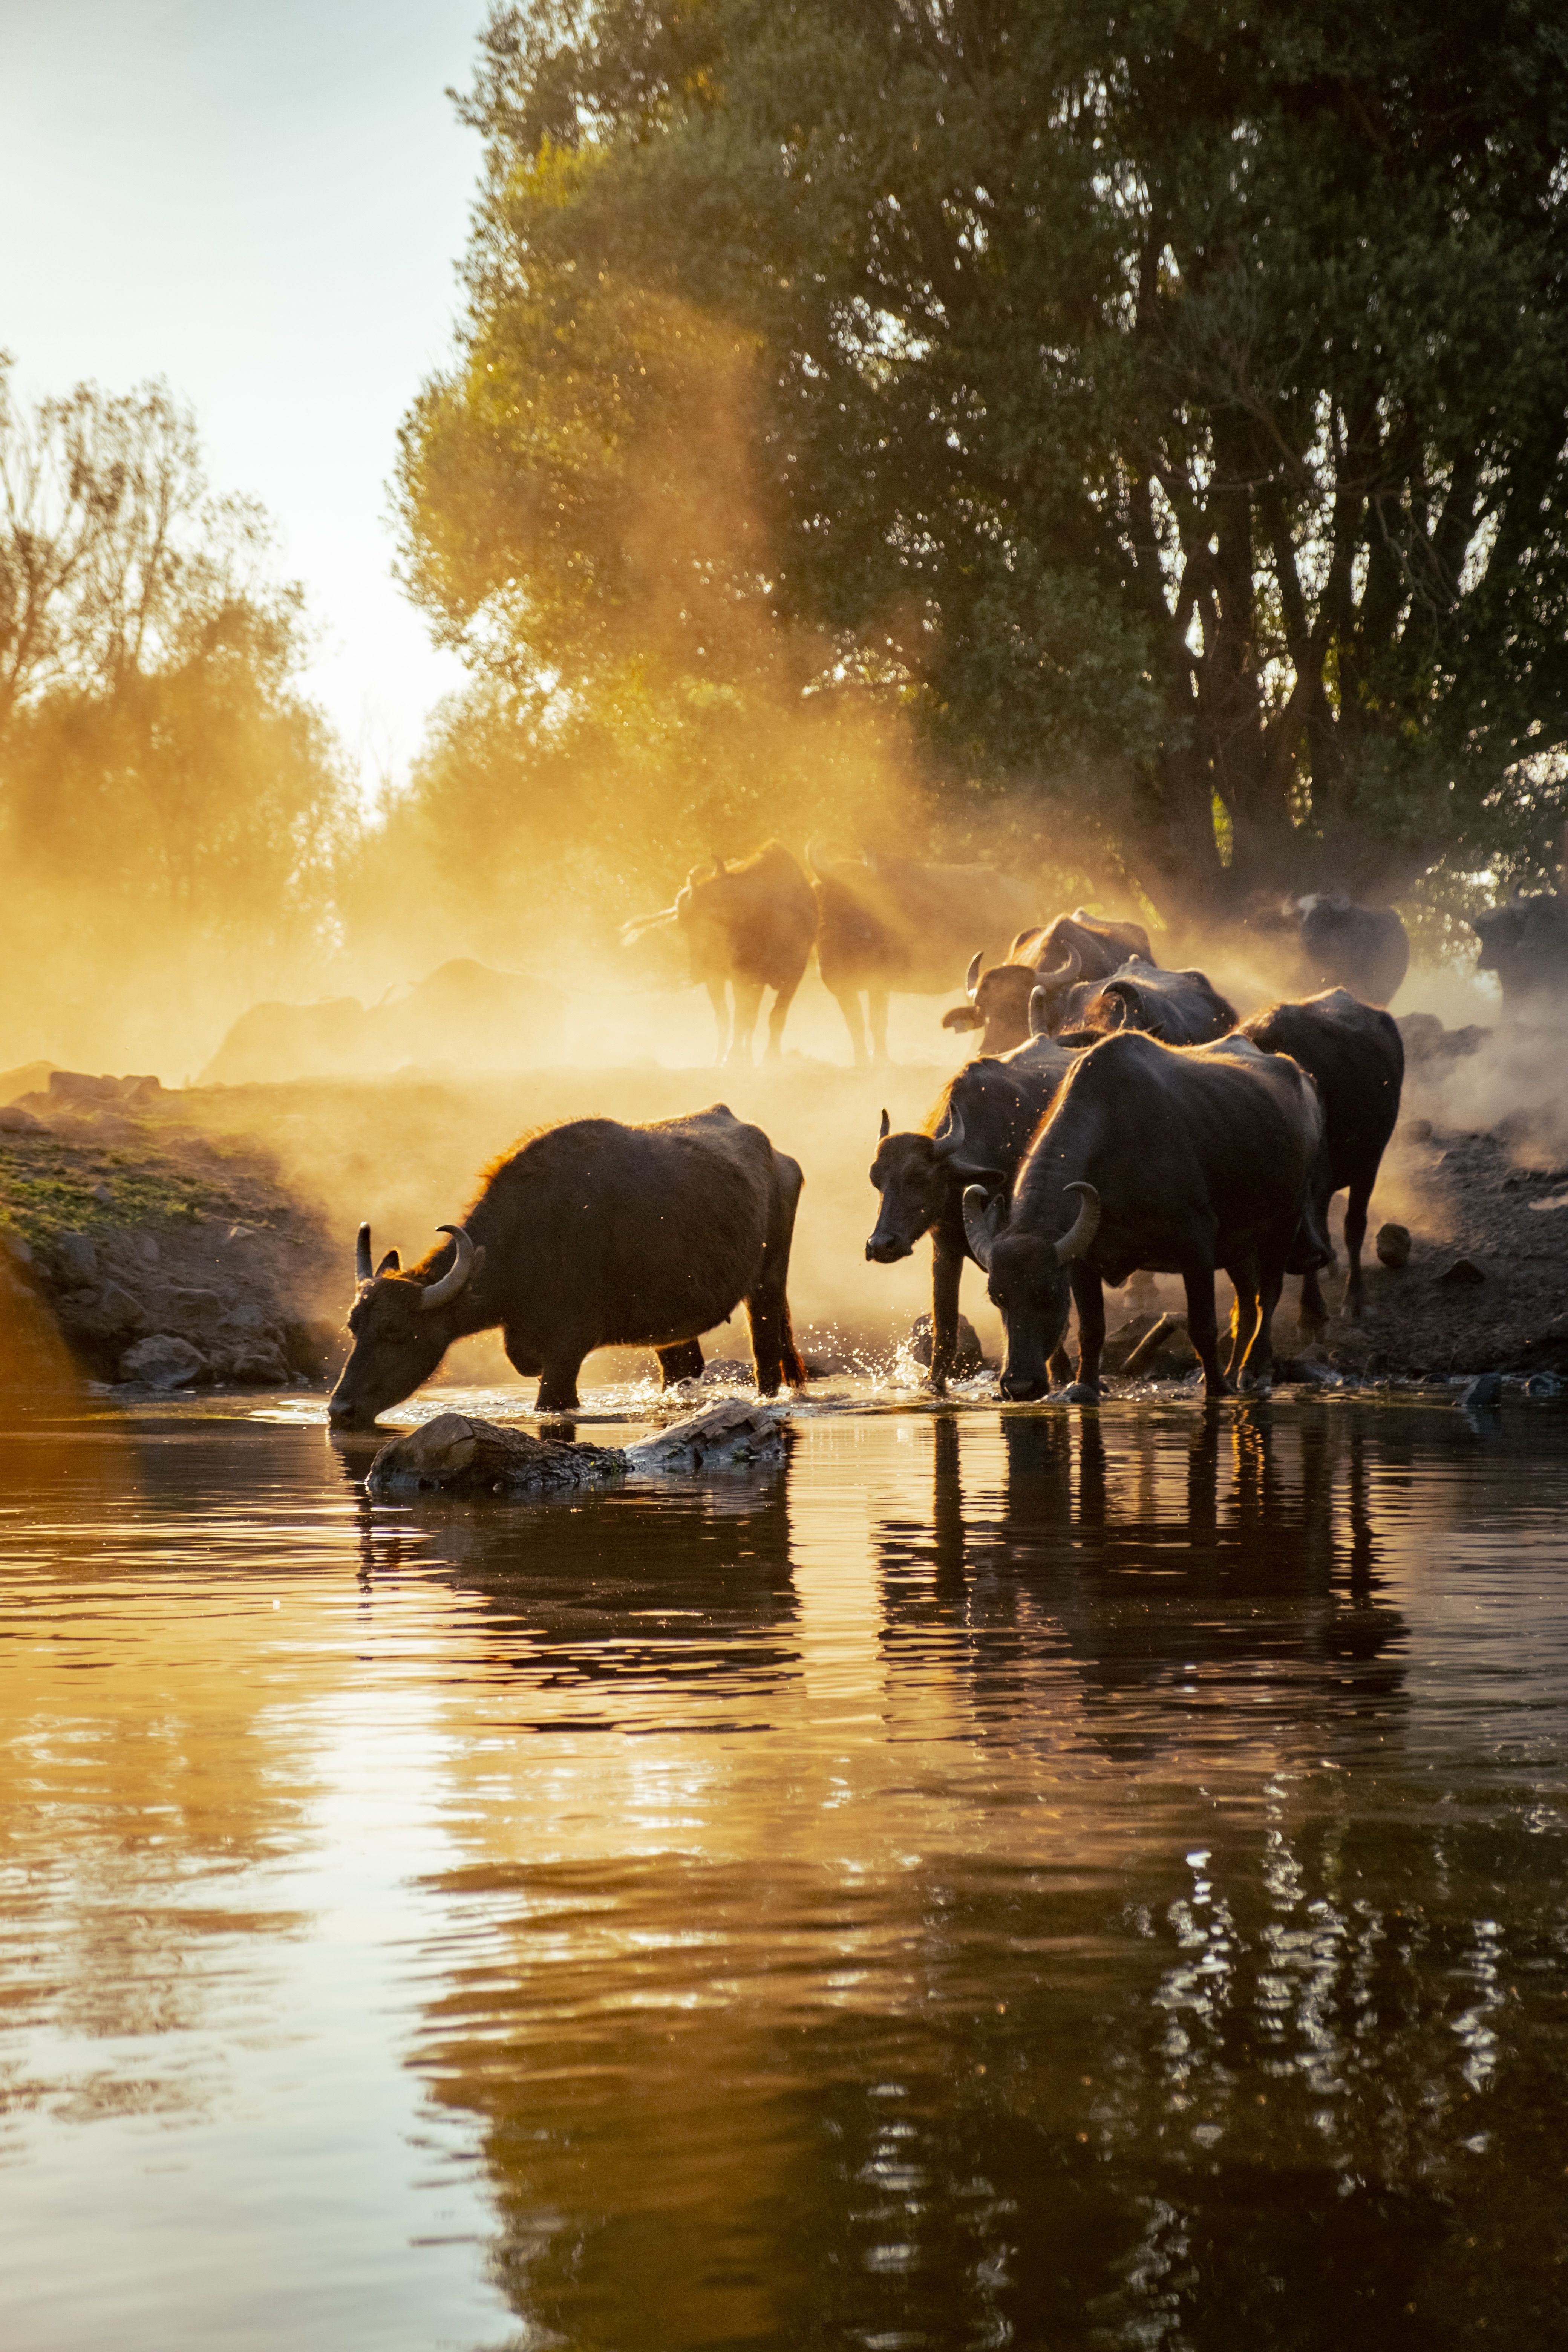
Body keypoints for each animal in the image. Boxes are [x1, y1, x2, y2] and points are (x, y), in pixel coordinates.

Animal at [328, 1105, 806, 1424]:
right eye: (354, 1328)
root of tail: (780, 1158)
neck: (526, 1240)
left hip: (767, 1288)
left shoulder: (566, 1352)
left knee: (767, 1361)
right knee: (683, 1370)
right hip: (672, 1324)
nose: (339, 1409)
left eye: (395, 1331)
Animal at [620, 841, 818, 1064]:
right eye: (685, 926)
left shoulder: (794, 975)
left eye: (713, 923)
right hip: (719, 982)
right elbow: (740, 1017)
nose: (698, 972)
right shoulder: (743, 977)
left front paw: (772, 1057)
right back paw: (721, 1059)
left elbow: (776, 1016)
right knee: (726, 1018)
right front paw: (734, 1057)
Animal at [810, 846, 1037, 1064]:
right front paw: (862, 1062)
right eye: (842, 893)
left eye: (870, 894)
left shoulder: (879, 985)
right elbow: (855, 1026)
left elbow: (877, 1023)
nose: (866, 935)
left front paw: (882, 1061)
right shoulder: (842, 988)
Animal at [865, 1036, 1081, 1392]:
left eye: (919, 1177)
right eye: (876, 1180)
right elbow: (945, 1331)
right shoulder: (945, 1252)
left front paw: (1060, 1376)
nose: (881, 1245)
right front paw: (933, 1385)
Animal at [962, 1031, 1324, 1399]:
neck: (1116, 1145)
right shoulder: (1081, 1263)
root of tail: (1304, 1081)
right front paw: (1085, 1385)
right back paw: (1236, 1368)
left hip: (1287, 1221)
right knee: (1247, 1301)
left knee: (1269, 1295)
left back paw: (1254, 1370)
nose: (1019, 1386)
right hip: (1237, 1241)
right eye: (998, 1297)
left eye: (1048, 1293)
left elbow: (1203, 1325)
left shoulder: (1197, 1245)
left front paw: (1218, 1386)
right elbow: (1091, 1328)